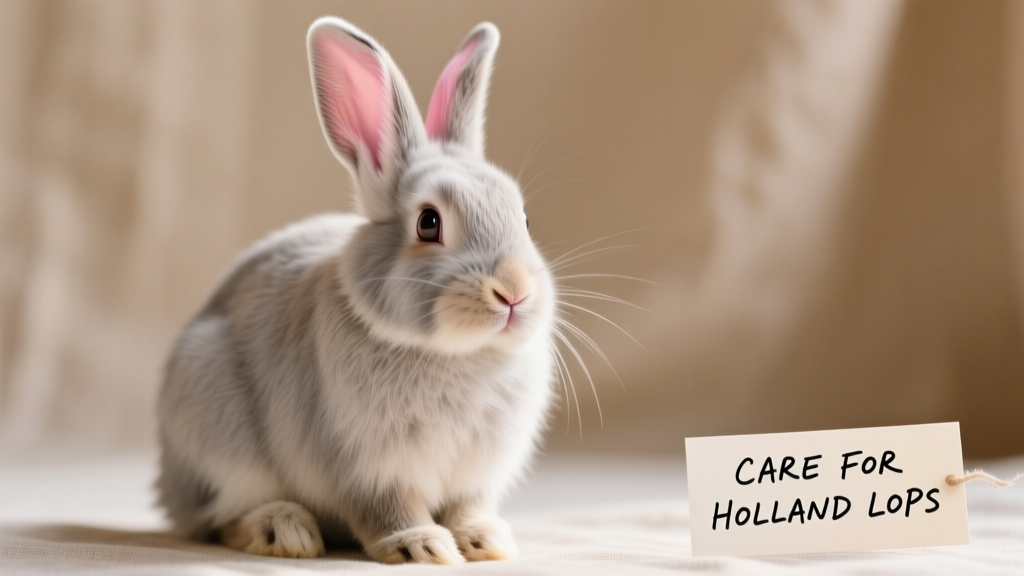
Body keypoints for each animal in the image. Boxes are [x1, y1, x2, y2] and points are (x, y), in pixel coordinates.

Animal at [156, 16, 556, 564]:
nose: (513, 293)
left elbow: (466, 507)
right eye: (429, 223)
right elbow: (388, 510)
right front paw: (422, 547)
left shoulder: (473, 474)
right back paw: (285, 530)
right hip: (217, 430)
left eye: (525, 218)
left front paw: (487, 542)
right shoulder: (367, 466)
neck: (455, 354)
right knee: (216, 519)